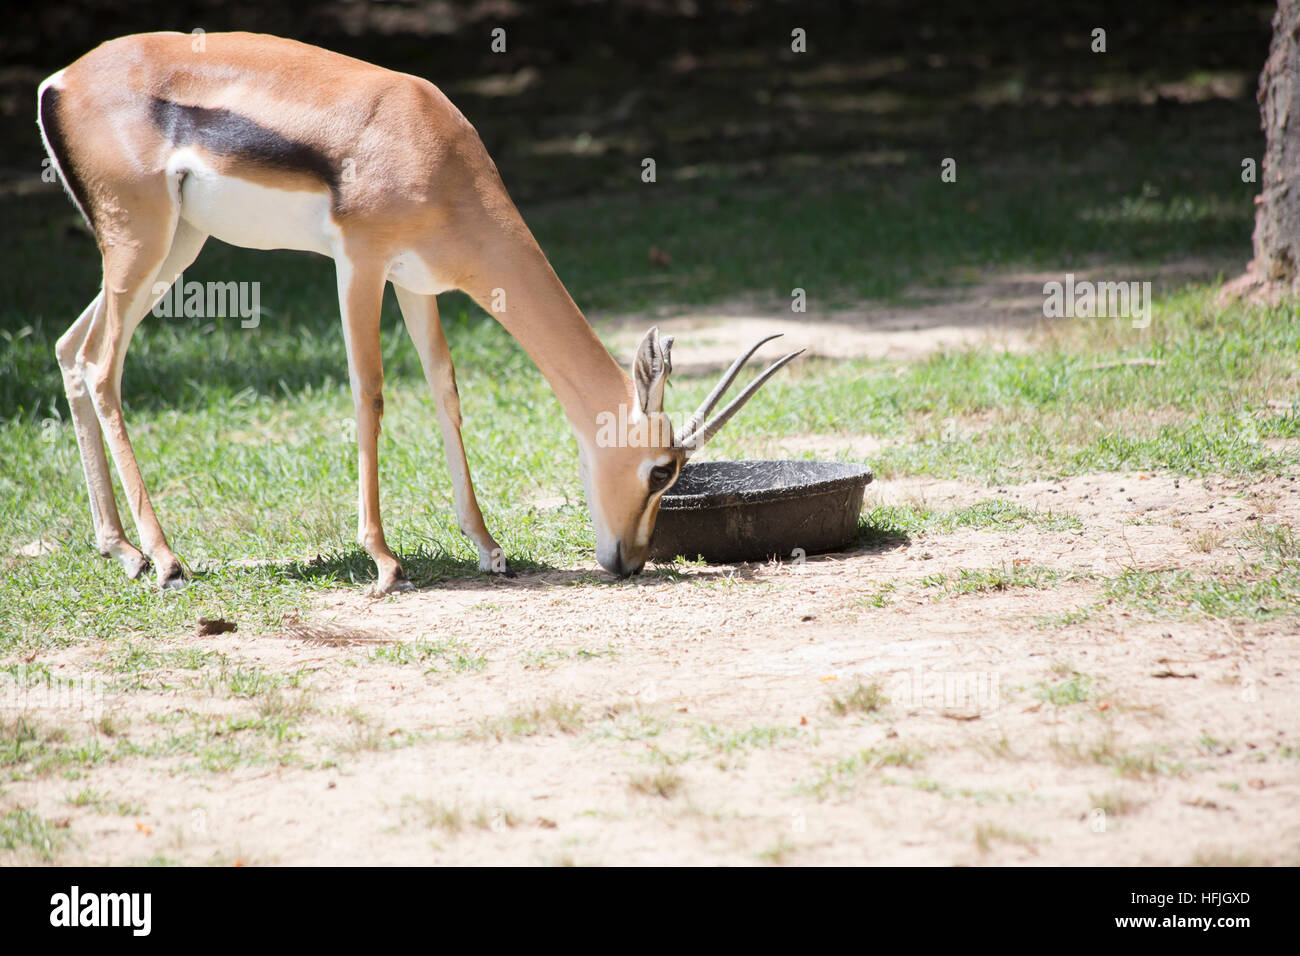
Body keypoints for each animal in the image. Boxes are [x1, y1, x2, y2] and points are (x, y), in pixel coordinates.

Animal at [37, 31, 800, 594]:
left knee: (71, 351)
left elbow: (444, 392)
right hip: (142, 245)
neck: (429, 144)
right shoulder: (359, 263)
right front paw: (384, 562)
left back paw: (120, 549)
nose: (630, 560)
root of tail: (62, 81)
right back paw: (165, 561)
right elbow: (369, 393)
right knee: (102, 368)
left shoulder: (419, 284)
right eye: (661, 470)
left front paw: (490, 548)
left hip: (174, 250)